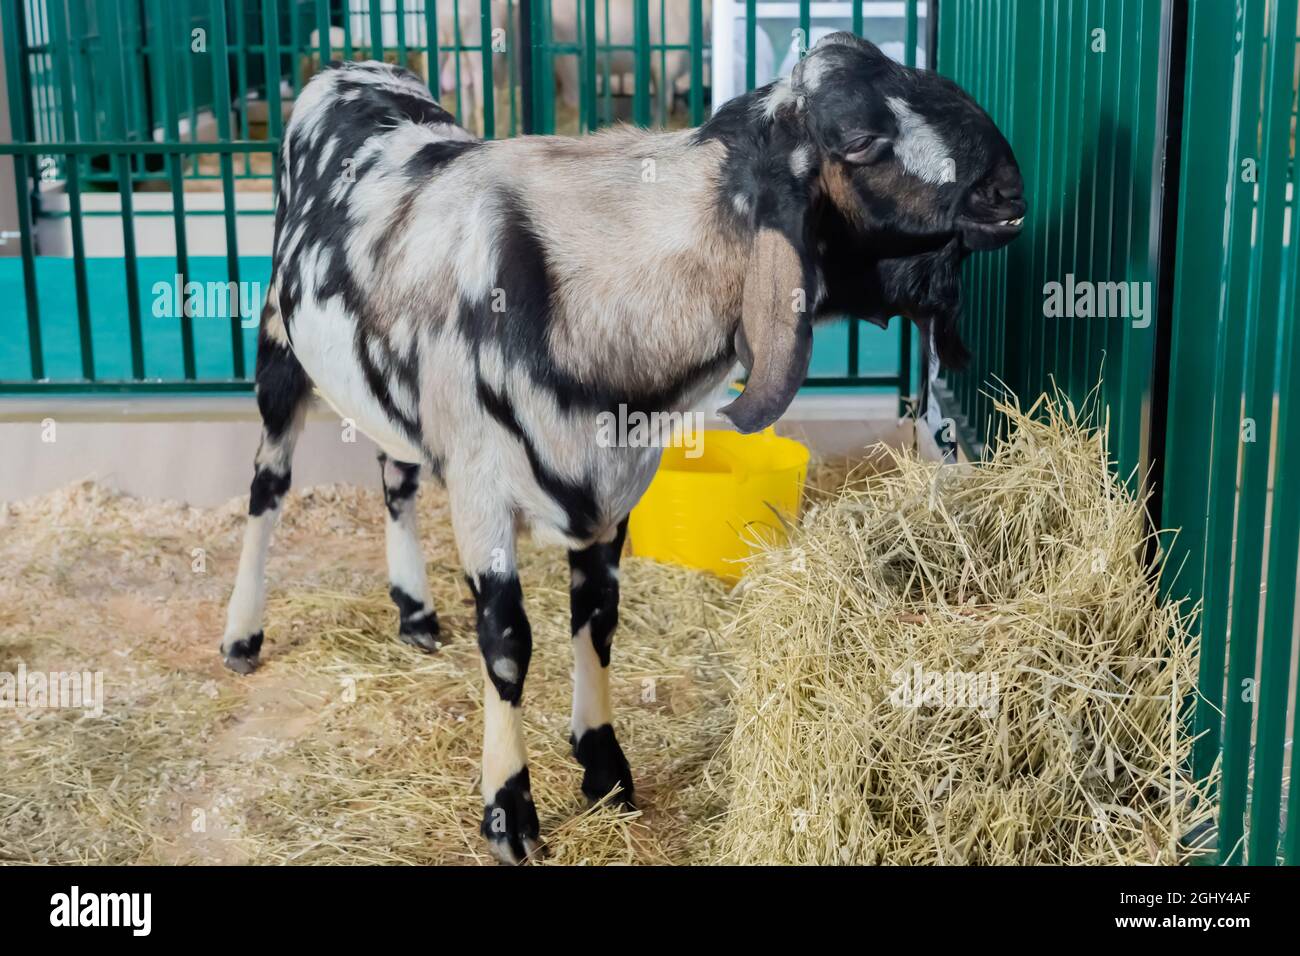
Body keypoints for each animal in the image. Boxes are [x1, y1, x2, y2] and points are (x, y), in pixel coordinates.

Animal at [220, 33, 1025, 863]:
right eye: (860, 139)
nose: (1007, 191)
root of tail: (350, 67)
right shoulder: (481, 489)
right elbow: (507, 642)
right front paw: (509, 811)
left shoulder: (607, 496)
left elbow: (598, 618)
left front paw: (604, 766)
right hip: (278, 348)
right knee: (267, 488)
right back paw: (243, 634)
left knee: (395, 475)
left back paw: (414, 613)